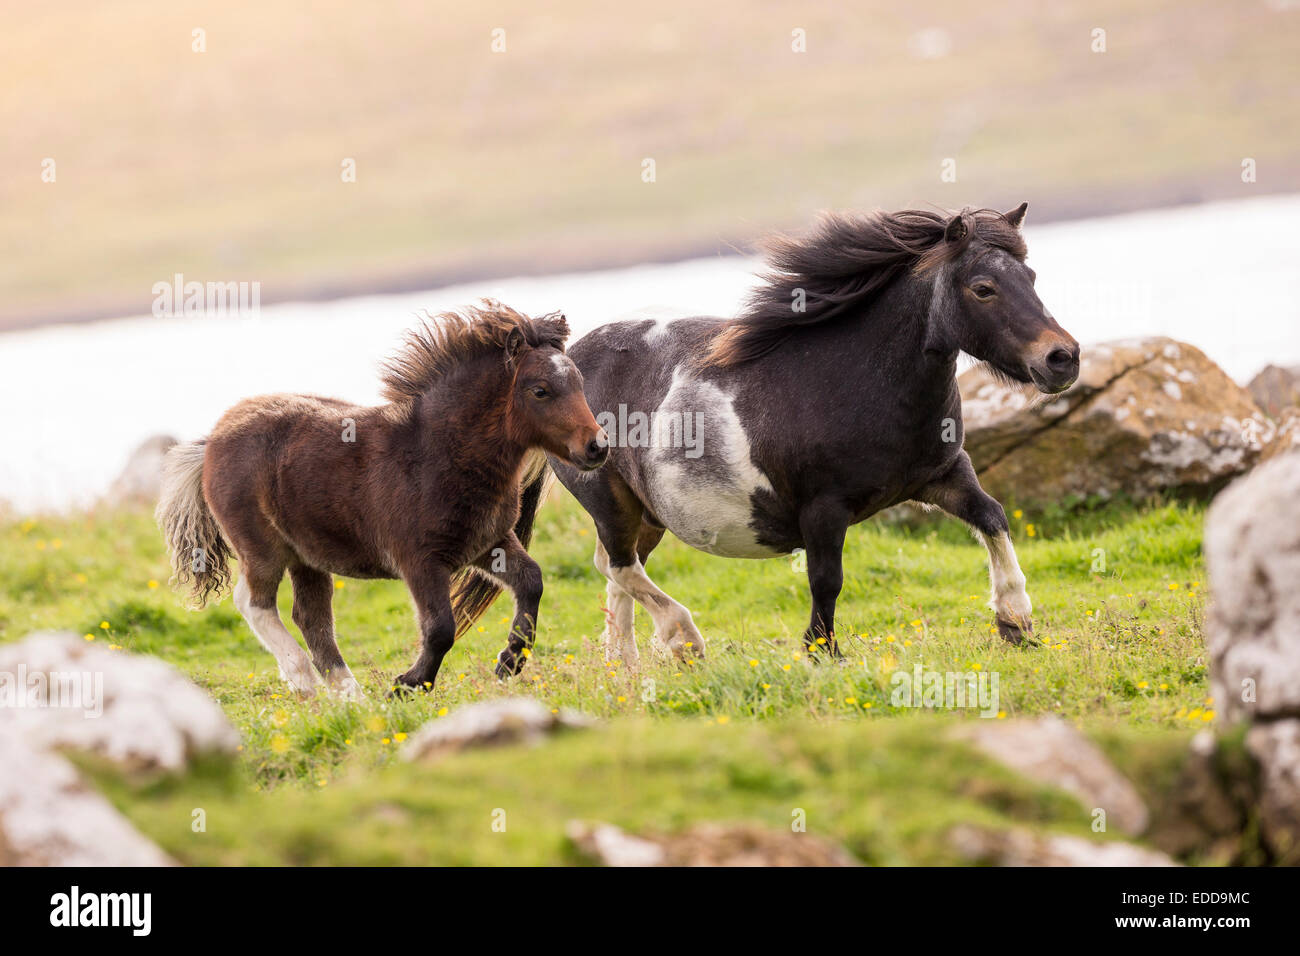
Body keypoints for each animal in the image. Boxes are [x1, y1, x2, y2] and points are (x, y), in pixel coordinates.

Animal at [156, 301, 608, 697]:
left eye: (579, 383)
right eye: (540, 391)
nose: (597, 447)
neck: (437, 454)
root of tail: (212, 441)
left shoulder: (489, 543)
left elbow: (532, 581)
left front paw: (509, 661)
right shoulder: (420, 560)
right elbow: (440, 628)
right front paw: (408, 686)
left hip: (307, 556)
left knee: (312, 619)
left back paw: (352, 699)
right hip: (262, 548)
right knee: (255, 603)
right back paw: (304, 682)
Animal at [511, 204, 1079, 664]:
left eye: (1030, 275)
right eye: (983, 288)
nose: (1063, 358)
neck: (856, 378)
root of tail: (566, 362)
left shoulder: (942, 475)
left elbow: (993, 517)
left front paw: (1016, 622)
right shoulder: (824, 507)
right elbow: (827, 580)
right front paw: (822, 652)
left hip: (648, 514)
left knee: (617, 571)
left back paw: (625, 664)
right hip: (608, 498)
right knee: (620, 565)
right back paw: (682, 641)